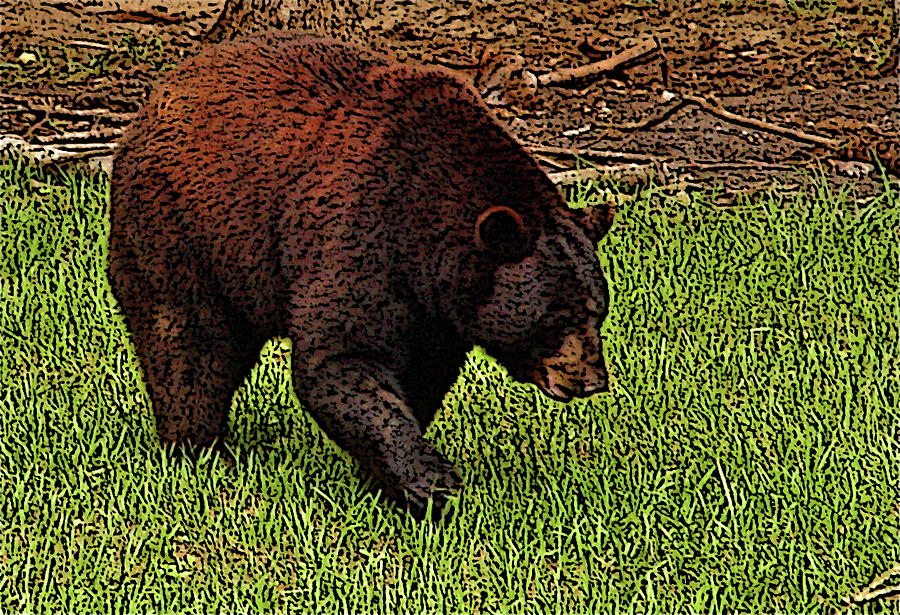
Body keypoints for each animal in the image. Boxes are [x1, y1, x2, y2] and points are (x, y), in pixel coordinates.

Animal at [108, 32, 613, 519]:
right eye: (557, 319)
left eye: (598, 313)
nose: (591, 380)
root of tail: (155, 96)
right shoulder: (360, 230)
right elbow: (344, 356)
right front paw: (435, 487)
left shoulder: (434, 309)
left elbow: (421, 372)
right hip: (183, 227)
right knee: (189, 338)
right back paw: (197, 446)